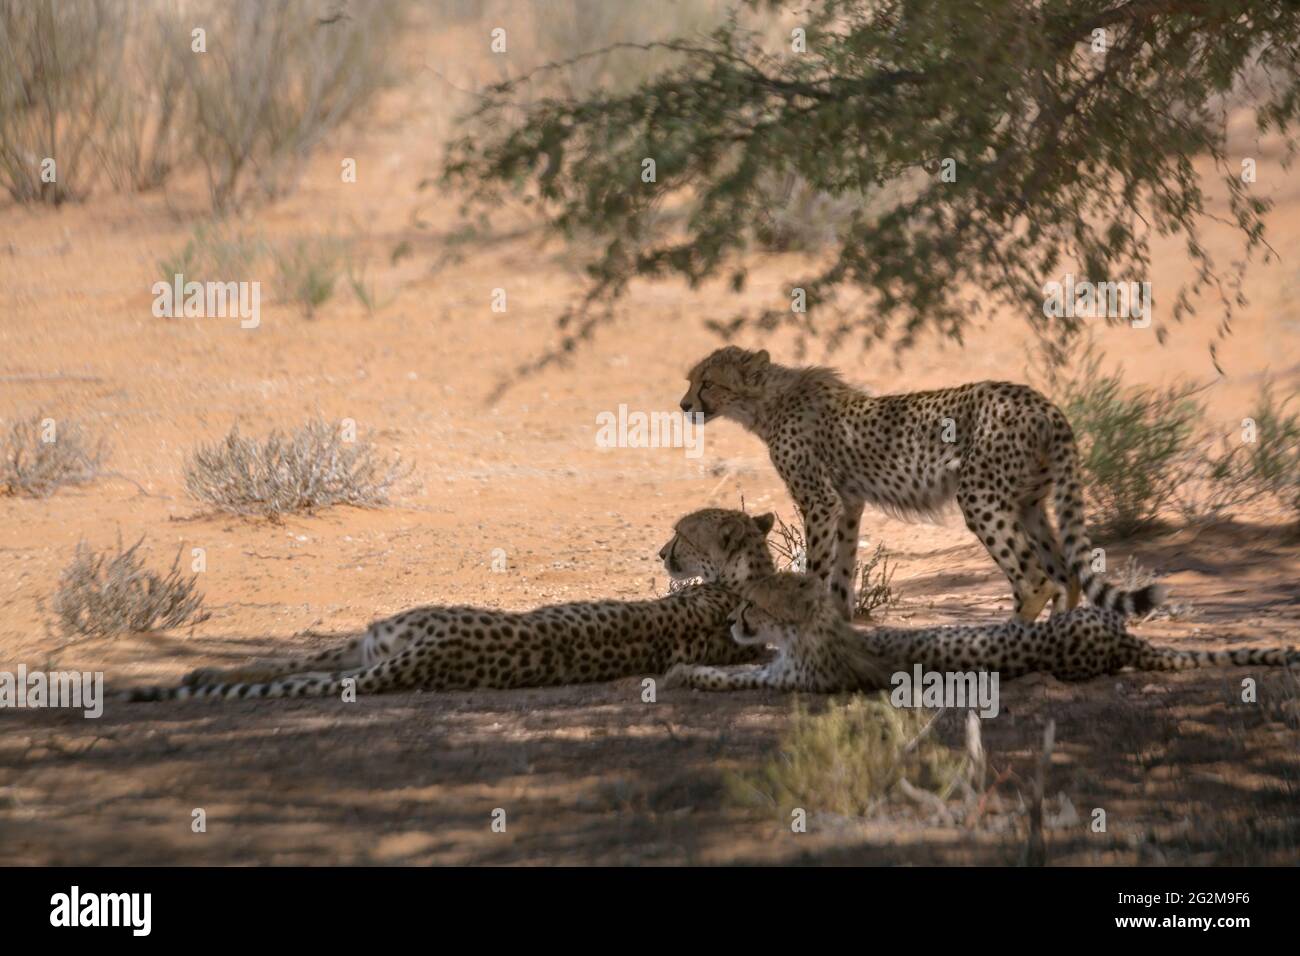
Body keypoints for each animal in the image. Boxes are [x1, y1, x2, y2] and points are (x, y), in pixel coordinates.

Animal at [125, 508, 778, 702]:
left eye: (682, 534)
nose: (662, 552)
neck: (751, 572)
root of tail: (442, 653)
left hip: (384, 638)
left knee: (298, 674)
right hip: (374, 646)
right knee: (293, 670)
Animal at [679, 346, 1165, 623]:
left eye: (707, 382)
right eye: (692, 380)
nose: (684, 406)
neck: (766, 402)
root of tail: (1040, 400)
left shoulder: (819, 501)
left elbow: (818, 565)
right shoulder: (849, 503)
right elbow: (843, 568)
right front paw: (840, 616)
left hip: (981, 498)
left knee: (1036, 580)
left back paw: (1012, 638)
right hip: (1029, 502)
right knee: (1067, 575)